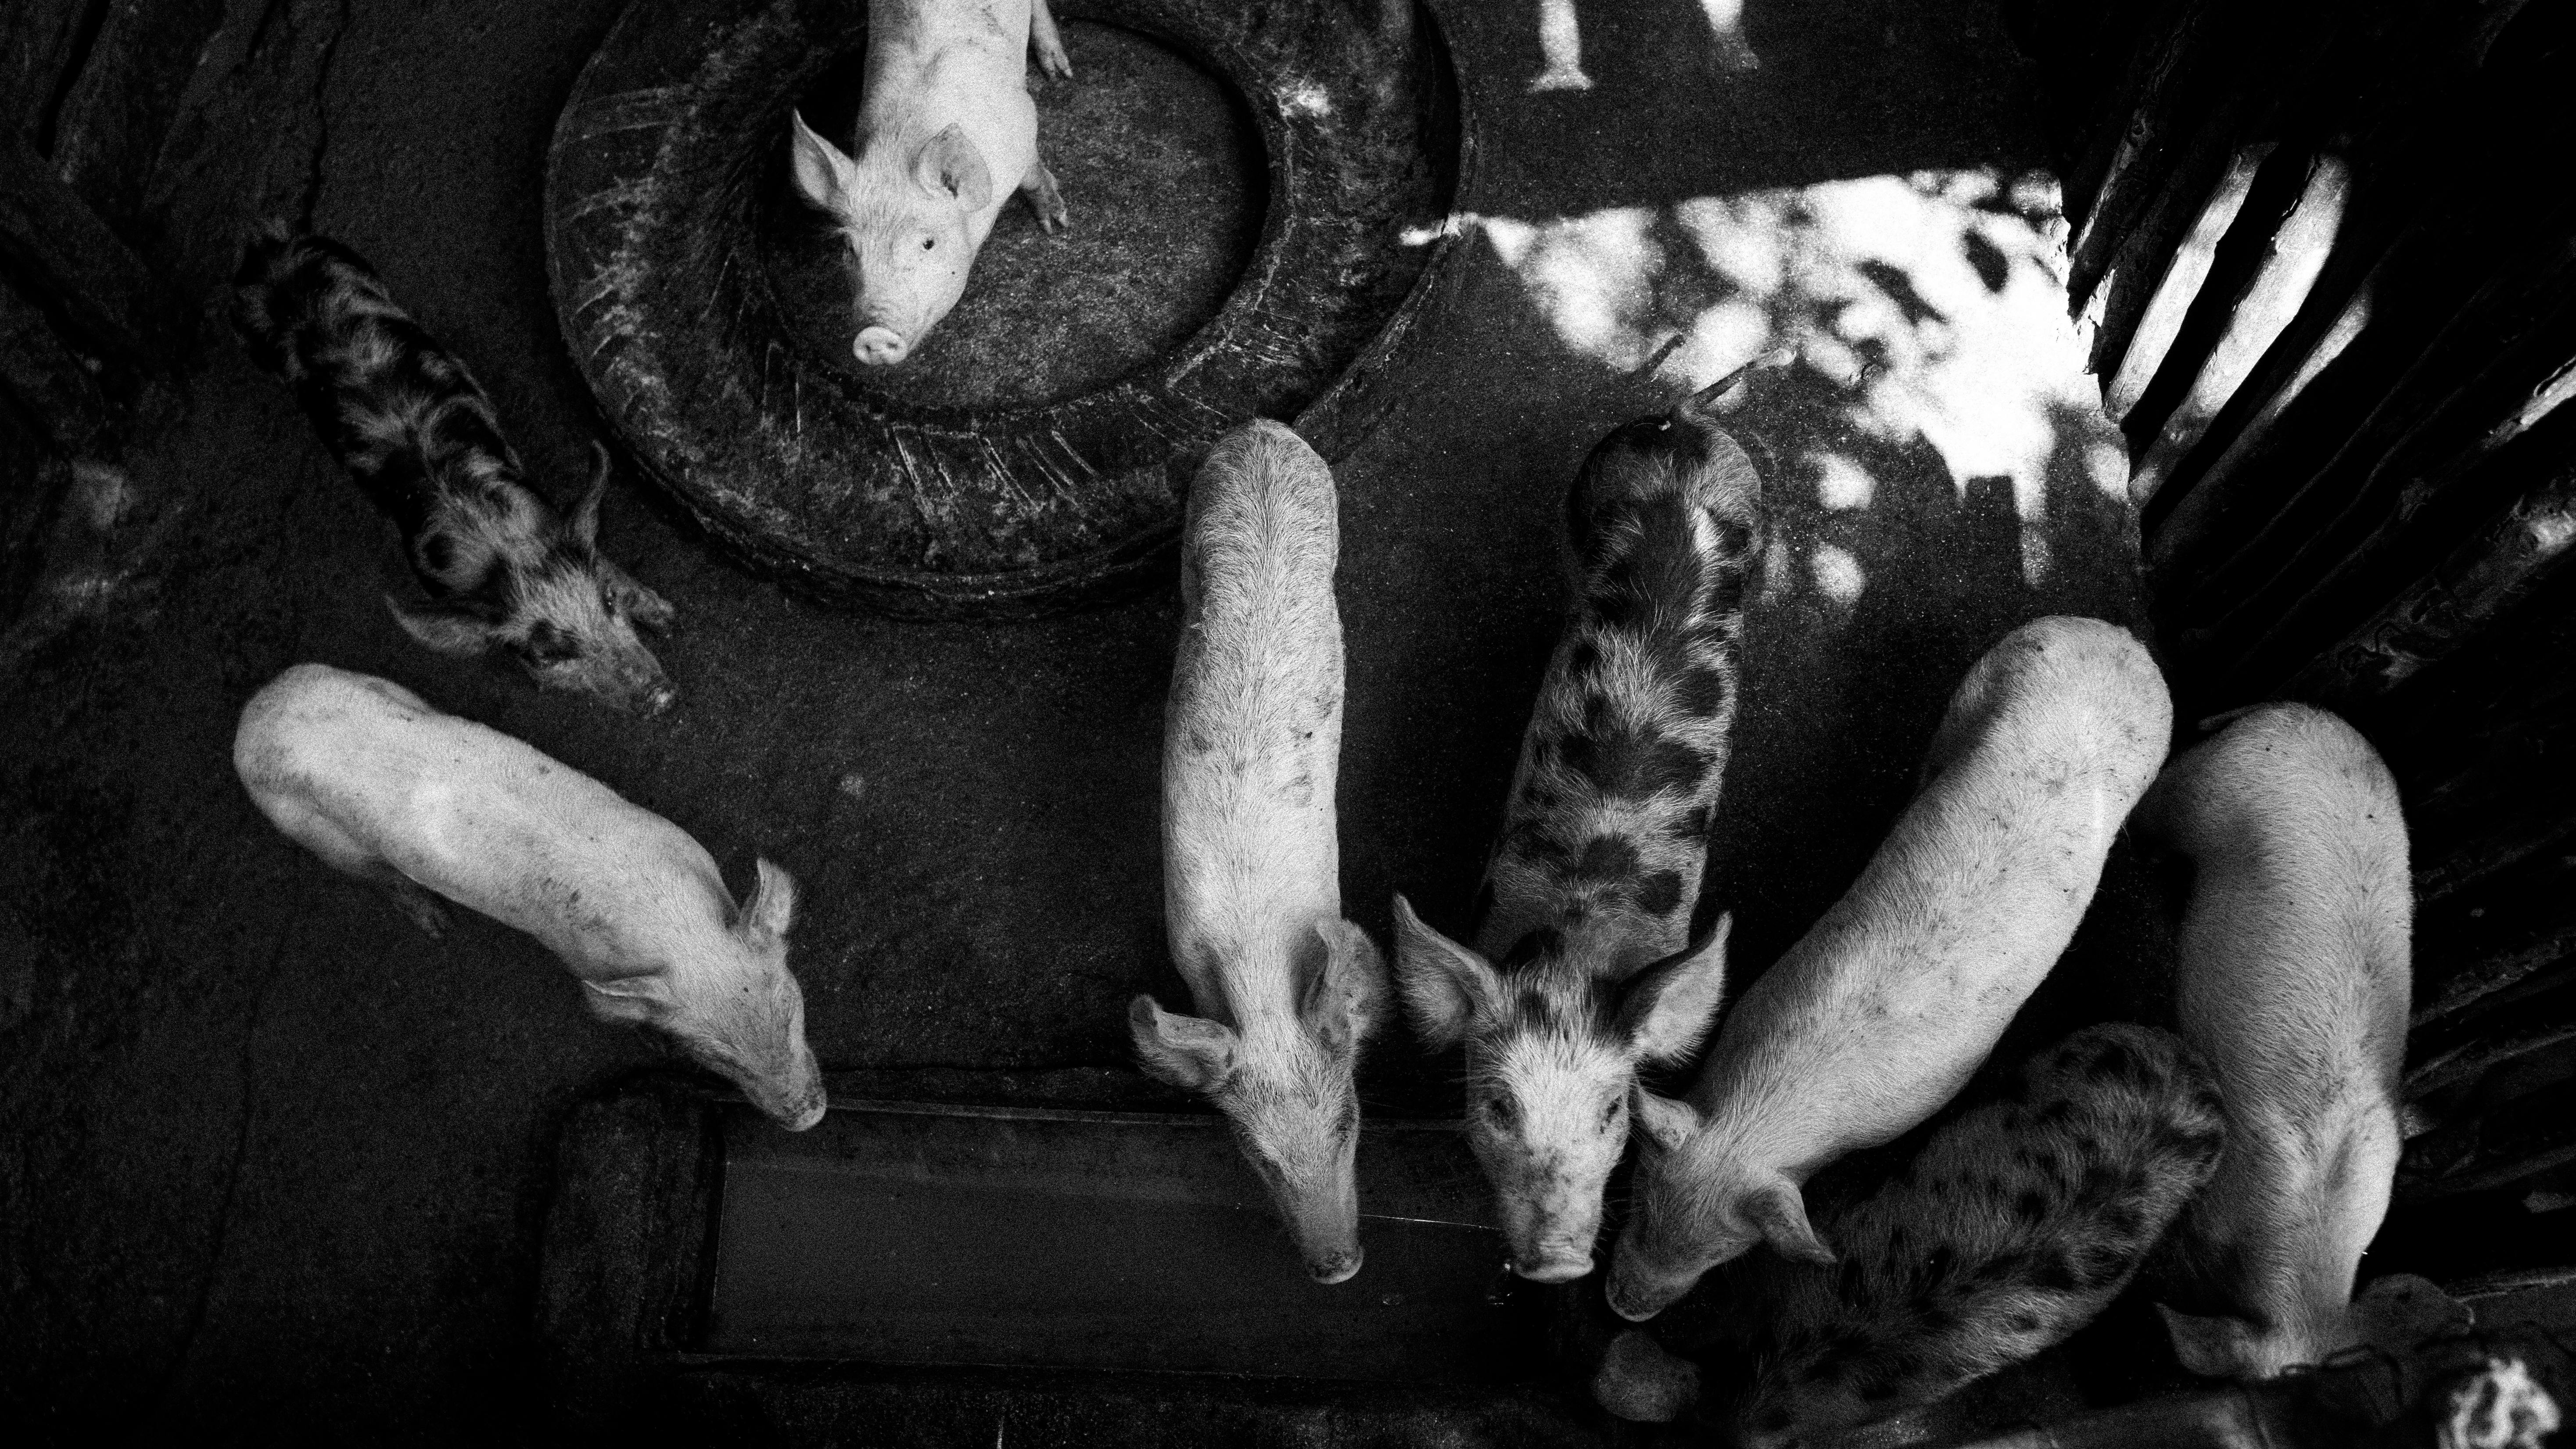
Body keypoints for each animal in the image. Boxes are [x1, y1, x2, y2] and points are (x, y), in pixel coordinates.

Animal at [232, 227, 678, 716]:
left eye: (608, 599)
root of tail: (270, 252)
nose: (661, 694)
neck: (500, 546)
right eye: (548, 654)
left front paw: (667, 616)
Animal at [233, 663, 825, 1129]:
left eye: (792, 1008)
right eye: (717, 1061)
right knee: (378, 877)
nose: (808, 1117)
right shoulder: (582, 966)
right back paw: (437, 925)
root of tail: (255, 712)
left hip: (382, 688)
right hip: (311, 830)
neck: (675, 929)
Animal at [788, 0, 1072, 367]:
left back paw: (1059, 74)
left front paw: (1056, 223)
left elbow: (1034, 174)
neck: (898, 149)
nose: (873, 335)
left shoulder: (1025, 120)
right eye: (849, 247)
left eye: (928, 244)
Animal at [1393, 370, 1767, 1284]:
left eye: (1611, 1112)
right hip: (1582, 492)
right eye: (1498, 1105)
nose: (1561, 1264)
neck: (1572, 938)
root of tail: (1682, 424)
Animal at [1607, 615, 2173, 1321]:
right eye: (1639, 1197)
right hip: (1982, 680)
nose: (1623, 1307)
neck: (1757, 1119)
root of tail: (2118, 638)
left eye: (1721, 1257)